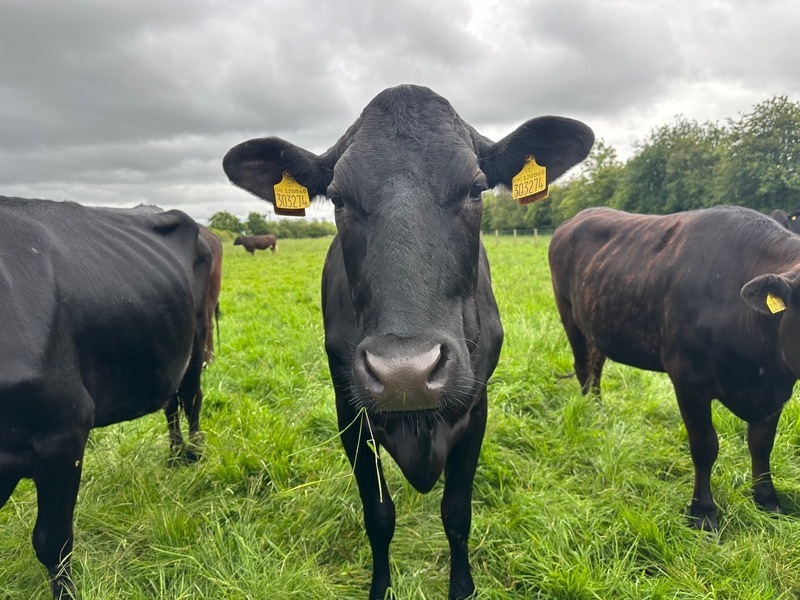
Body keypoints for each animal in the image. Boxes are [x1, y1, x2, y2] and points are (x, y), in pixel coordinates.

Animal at [0, 196, 211, 598]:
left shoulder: (64, 435)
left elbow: (52, 541)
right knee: (171, 403)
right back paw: (175, 455)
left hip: (198, 335)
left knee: (192, 397)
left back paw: (194, 454)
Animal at [223, 84, 594, 599]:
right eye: (337, 197)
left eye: (476, 187)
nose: (406, 373)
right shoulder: (349, 411)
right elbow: (378, 515)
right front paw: (381, 588)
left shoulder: (476, 407)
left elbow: (456, 513)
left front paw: (462, 588)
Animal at [549, 205, 800, 532]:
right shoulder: (688, 378)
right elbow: (705, 446)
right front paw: (703, 512)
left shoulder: (774, 391)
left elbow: (761, 444)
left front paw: (768, 502)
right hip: (569, 315)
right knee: (583, 366)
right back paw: (591, 413)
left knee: (596, 366)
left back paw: (600, 410)